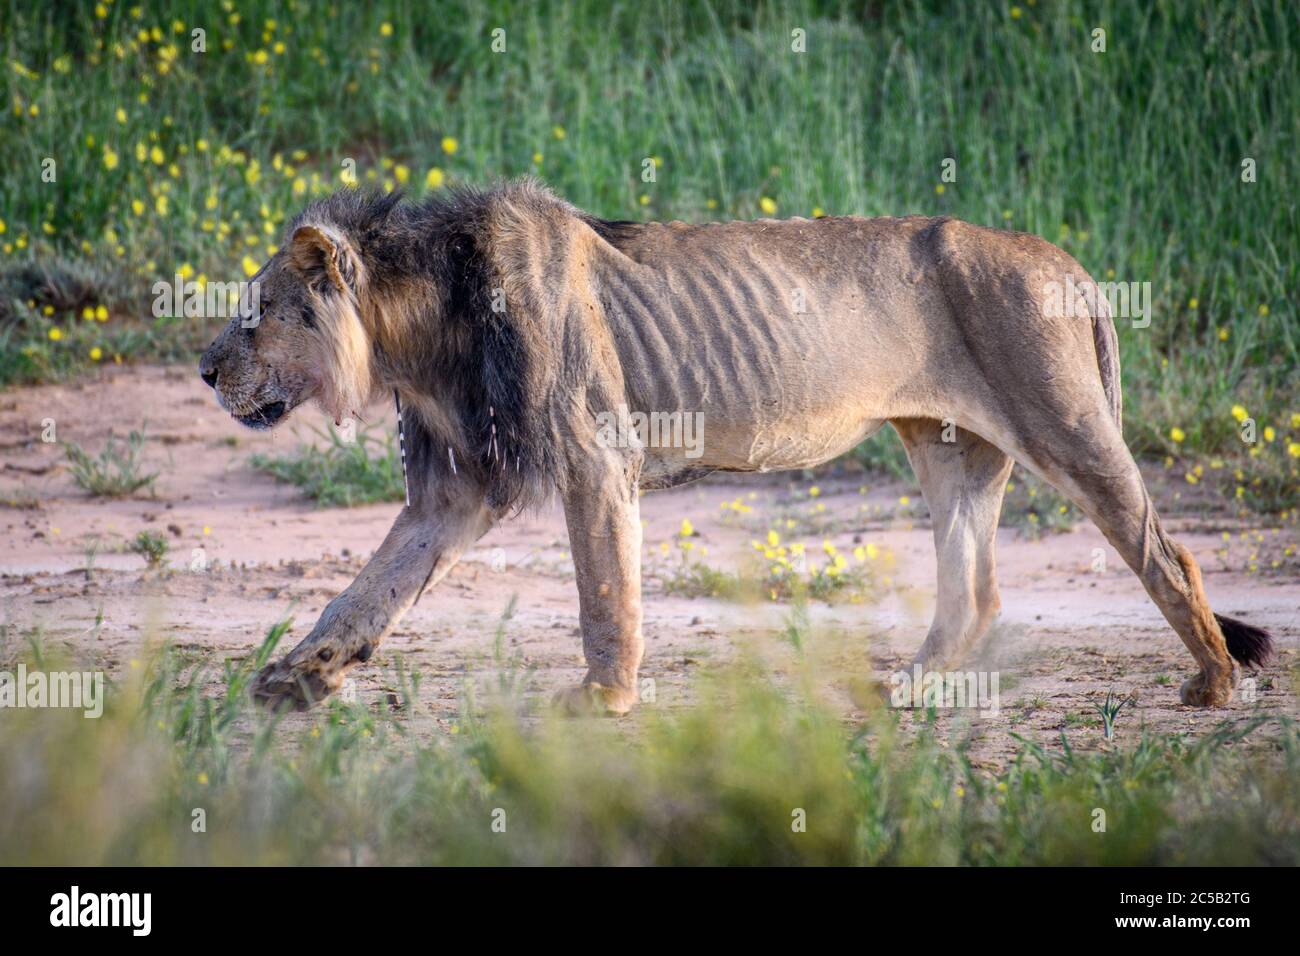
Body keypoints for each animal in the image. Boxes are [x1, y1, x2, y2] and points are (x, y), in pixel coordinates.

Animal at [198, 180, 1272, 715]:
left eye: (254, 316)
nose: (206, 369)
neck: (418, 338)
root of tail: (1072, 264)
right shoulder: (454, 491)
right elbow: (366, 589)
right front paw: (297, 679)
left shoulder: (595, 451)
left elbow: (605, 593)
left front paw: (605, 700)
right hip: (949, 445)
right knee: (975, 590)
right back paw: (913, 689)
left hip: (1064, 425)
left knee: (1166, 552)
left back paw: (1214, 684)